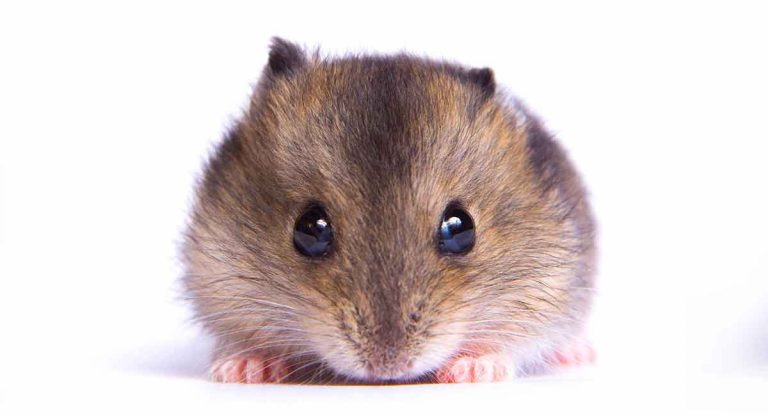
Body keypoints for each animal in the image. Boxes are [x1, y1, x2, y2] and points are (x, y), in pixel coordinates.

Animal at [181, 38, 596, 384]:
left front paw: (472, 370)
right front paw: (243, 370)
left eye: (460, 229)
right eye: (310, 229)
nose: (387, 367)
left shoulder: (547, 287)